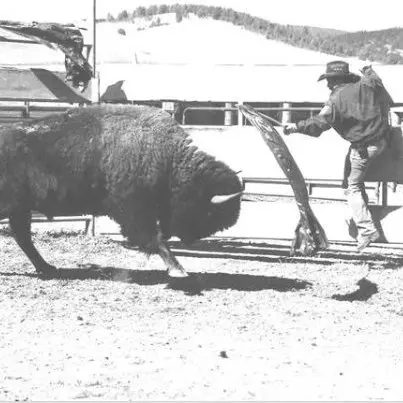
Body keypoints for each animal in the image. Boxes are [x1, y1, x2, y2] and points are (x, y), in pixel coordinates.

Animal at [0, 105, 243, 278]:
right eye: (207, 211)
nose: (190, 239)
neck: (170, 159)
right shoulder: (132, 211)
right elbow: (154, 239)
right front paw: (178, 270)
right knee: (22, 236)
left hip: (21, 209)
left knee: (23, 237)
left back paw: (48, 268)